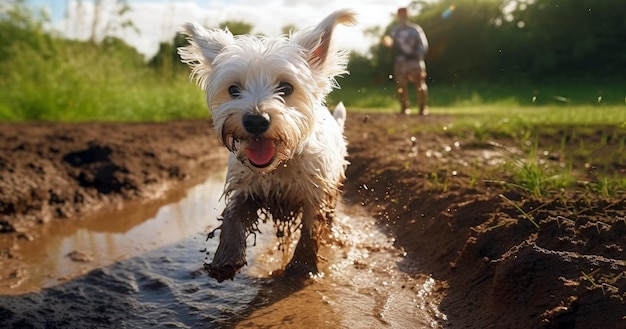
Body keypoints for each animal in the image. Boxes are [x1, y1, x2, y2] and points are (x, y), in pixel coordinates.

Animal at [179, 9, 356, 280]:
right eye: (233, 89)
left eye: (286, 87)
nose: (255, 120)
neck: (281, 165)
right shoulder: (250, 189)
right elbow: (232, 215)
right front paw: (226, 256)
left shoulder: (316, 191)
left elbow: (311, 228)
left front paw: (302, 267)